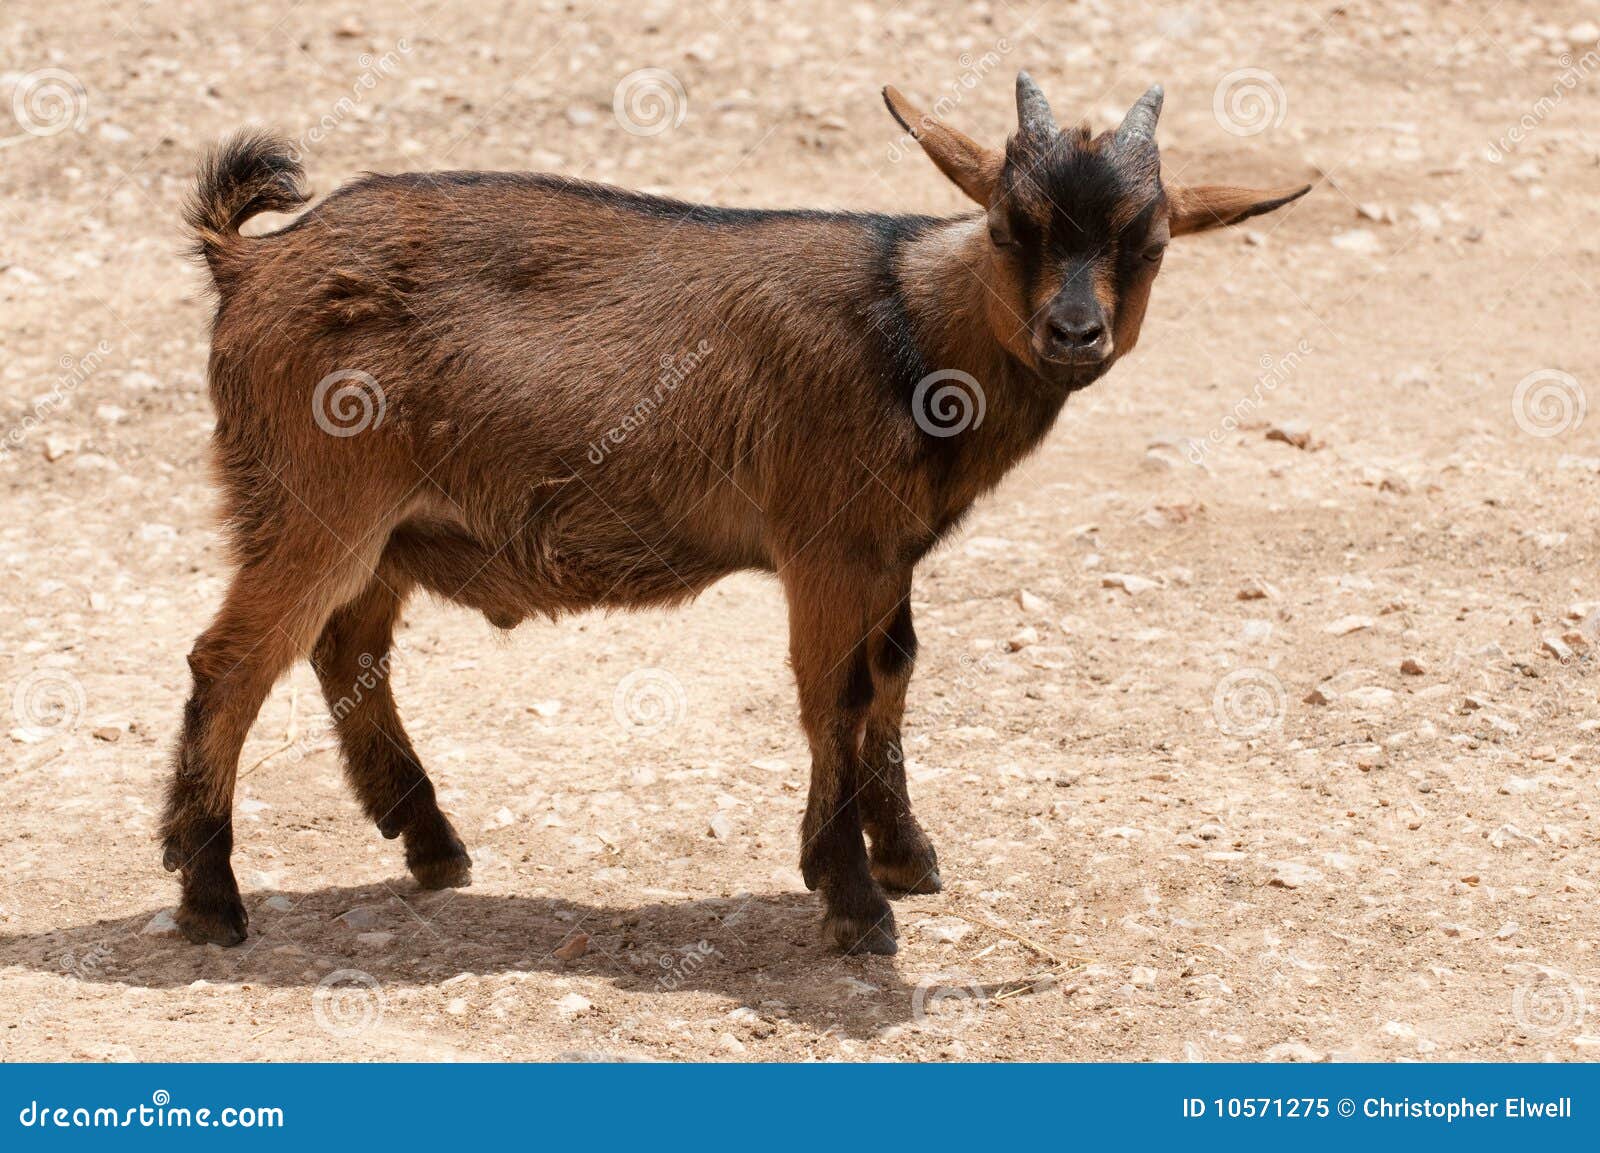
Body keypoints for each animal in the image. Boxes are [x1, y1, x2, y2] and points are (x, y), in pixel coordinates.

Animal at [162, 73, 1308, 954]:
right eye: (1006, 225)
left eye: (1148, 241)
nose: (1073, 332)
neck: (910, 334)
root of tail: (249, 260)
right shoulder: (826, 544)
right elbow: (836, 692)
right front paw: (852, 900)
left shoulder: (886, 552)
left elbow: (893, 672)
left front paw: (903, 854)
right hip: (319, 499)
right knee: (235, 661)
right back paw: (211, 896)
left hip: (381, 529)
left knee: (344, 645)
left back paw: (430, 840)